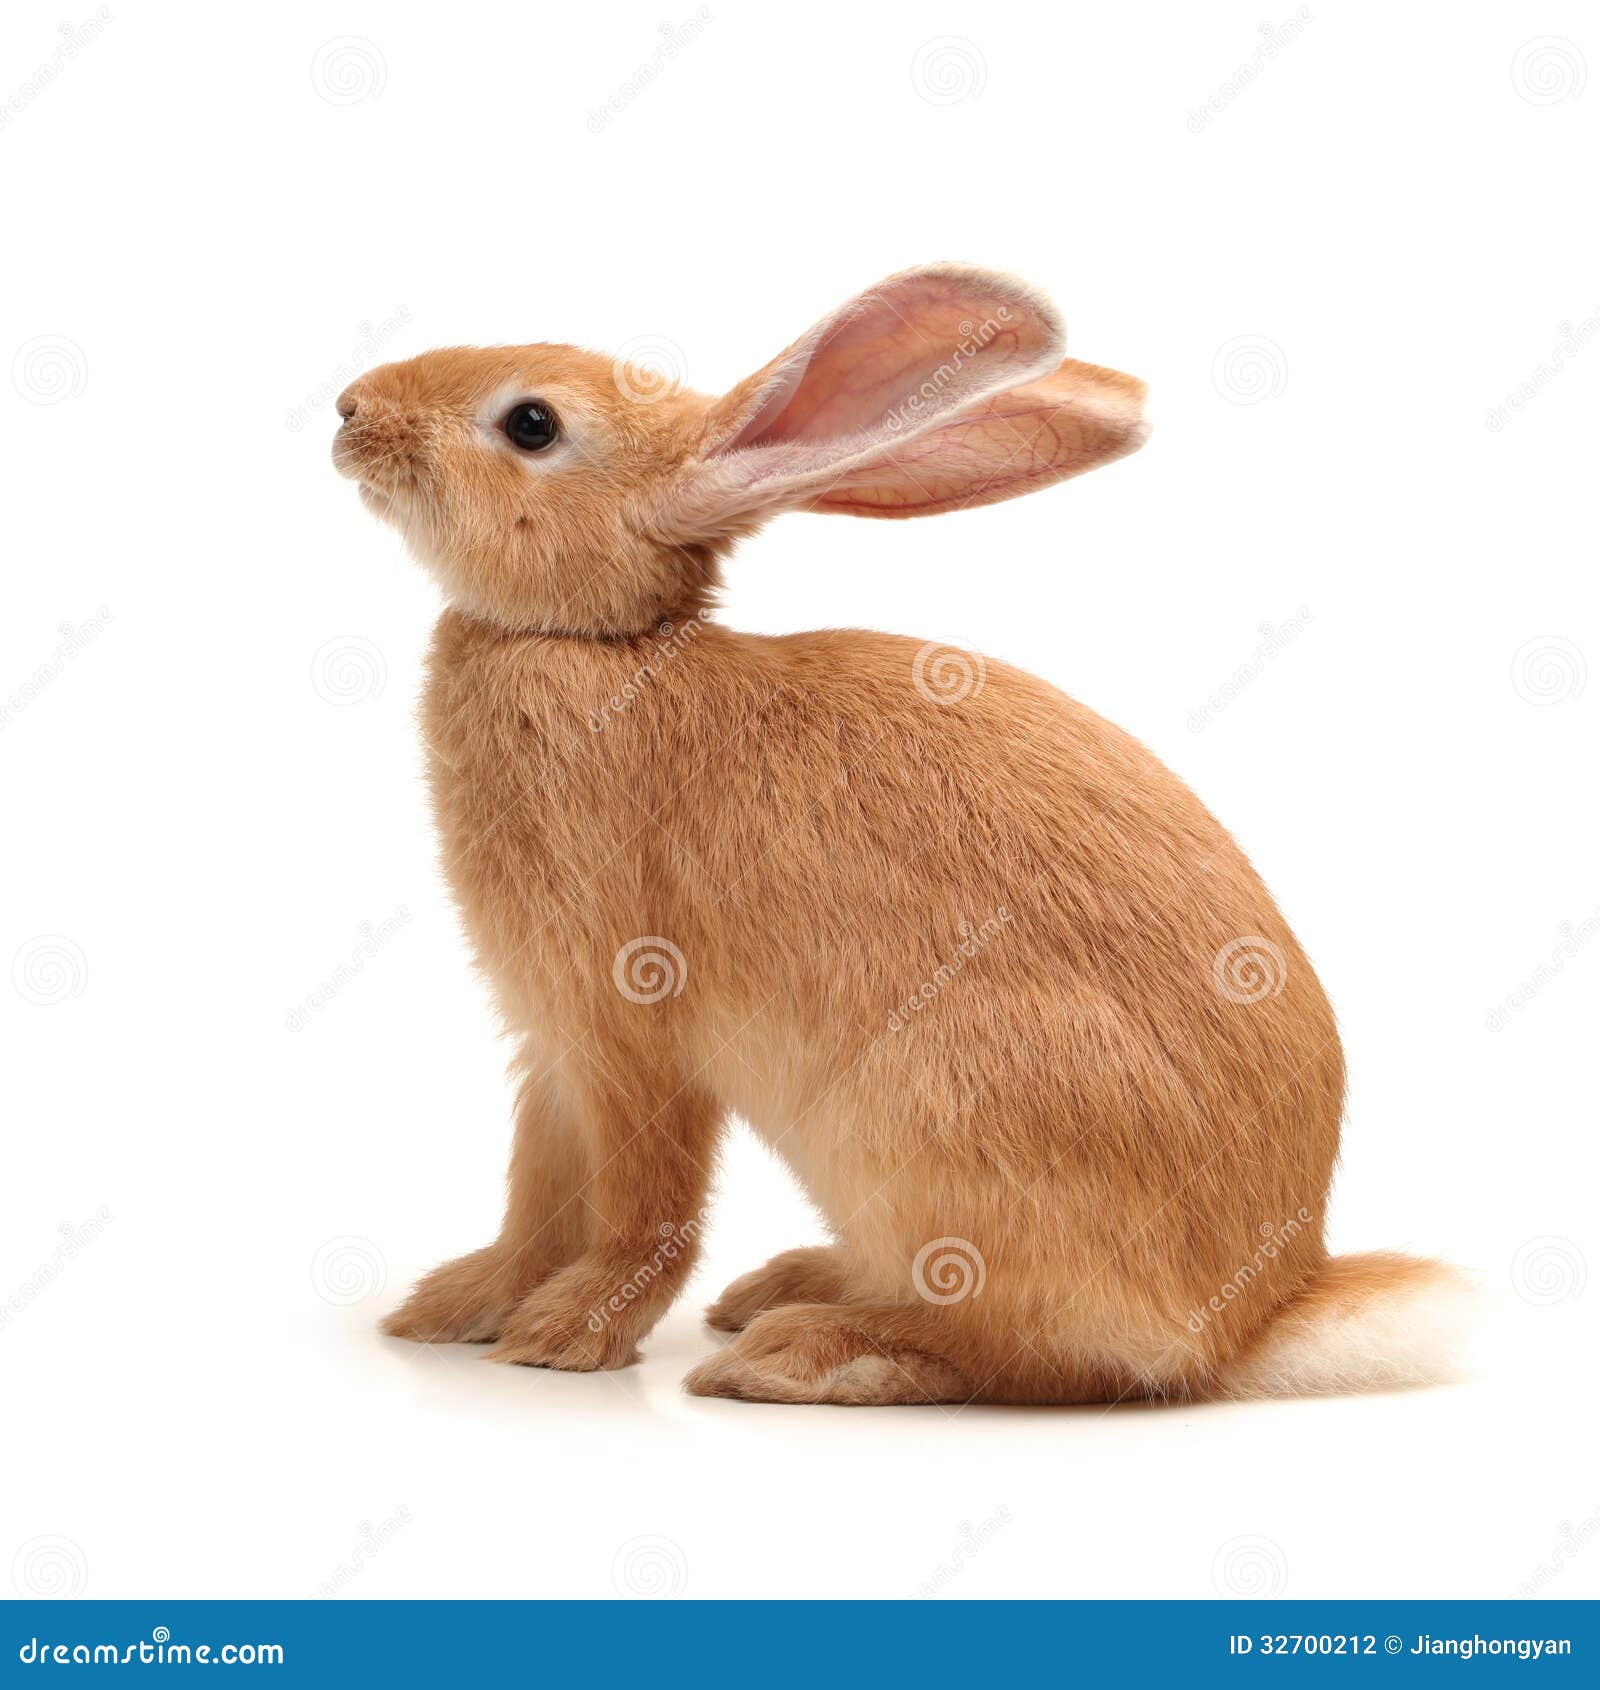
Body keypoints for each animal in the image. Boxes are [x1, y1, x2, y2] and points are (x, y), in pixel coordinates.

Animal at [333, 264, 1466, 1405]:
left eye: (531, 424)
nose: (348, 410)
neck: (596, 646)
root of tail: (1254, 1315)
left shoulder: (631, 1032)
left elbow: (643, 1213)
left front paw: (565, 1337)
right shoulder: (552, 1051)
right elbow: (538, 1200)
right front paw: (454, 1309)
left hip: (942, 1121)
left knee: (1032, 1349)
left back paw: (813, 1348)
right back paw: (789, 1287)